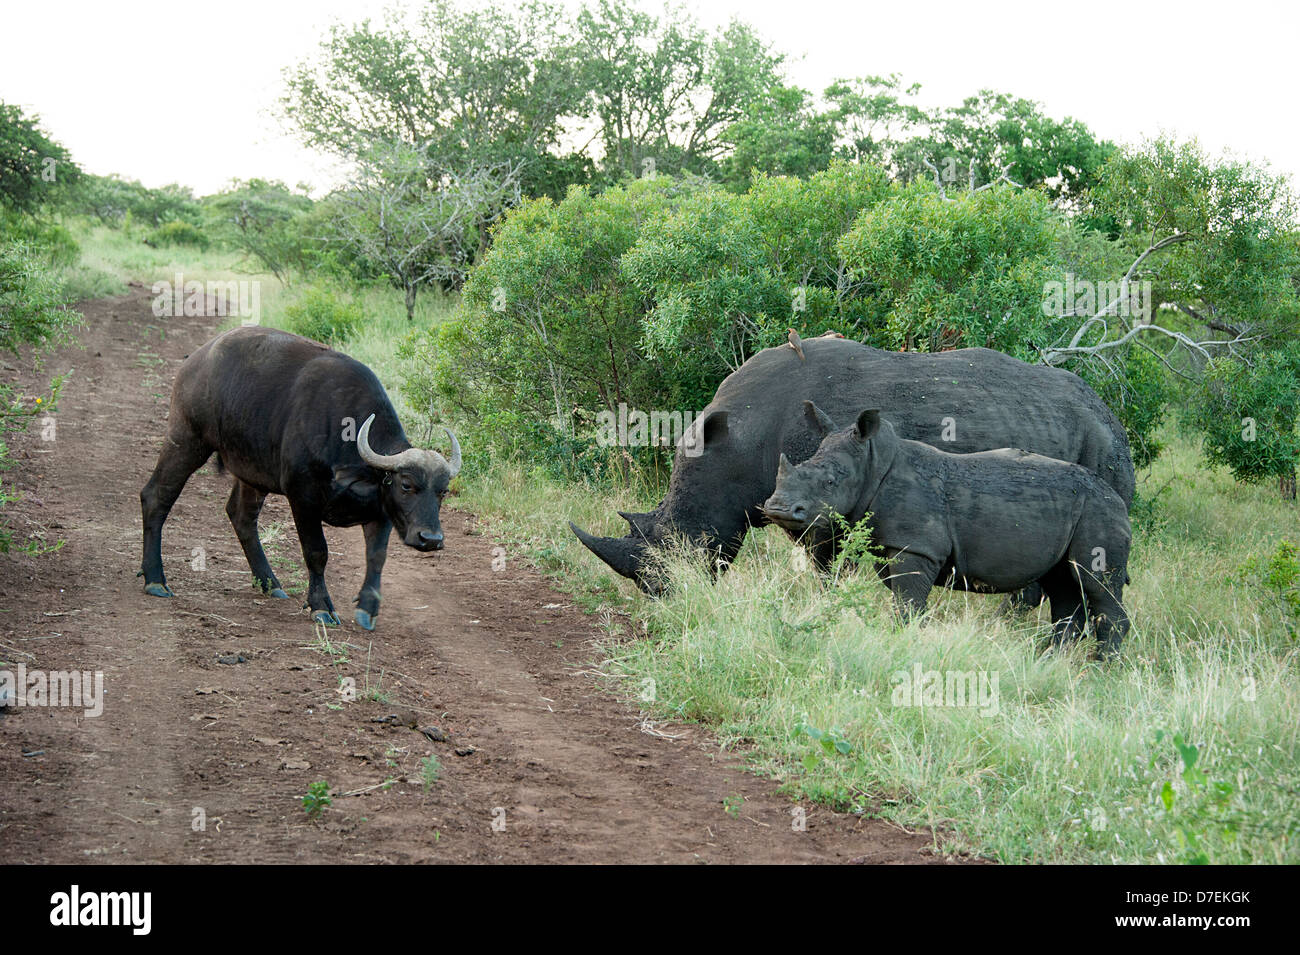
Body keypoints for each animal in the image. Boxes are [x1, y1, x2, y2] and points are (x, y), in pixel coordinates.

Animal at [139, 326, 460, 630]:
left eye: (443, 491)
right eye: (406, 485)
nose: (431, 539)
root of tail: (196, 360)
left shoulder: (380, 510)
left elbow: (377, 557)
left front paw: (368, 608)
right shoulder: (302, 498)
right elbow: (317, 552)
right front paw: (321, 606)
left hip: (251, 472)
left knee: (241, 516)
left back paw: (270, 583)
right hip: (186, 439)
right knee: (156, 496)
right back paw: (155, 579)